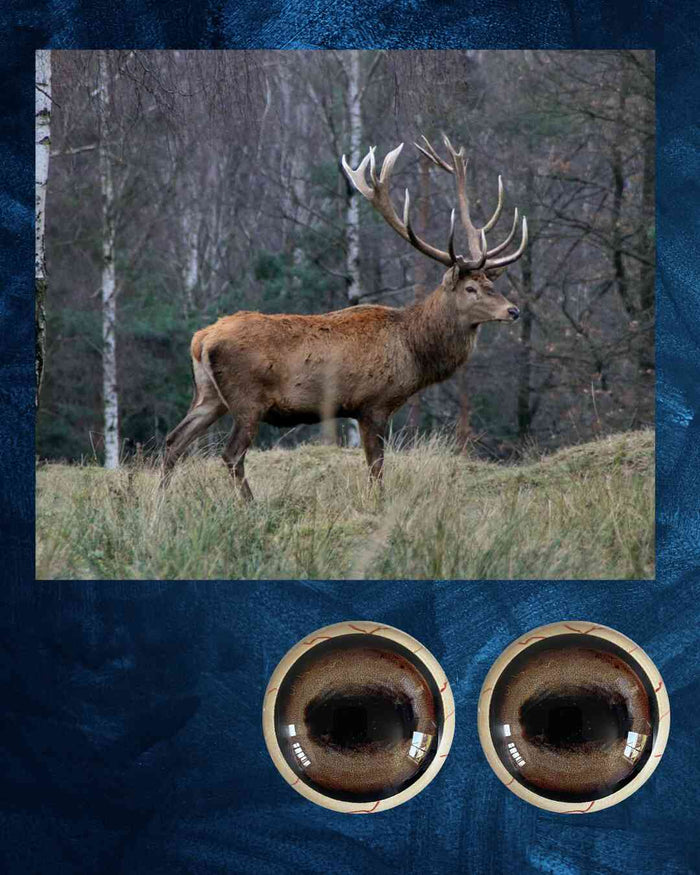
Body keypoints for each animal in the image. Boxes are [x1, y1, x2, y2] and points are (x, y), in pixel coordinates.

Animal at [161, 135, 528, 500]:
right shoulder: (374, 403)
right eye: (471, 288)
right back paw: (249, 505)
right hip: (248, 399)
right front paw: (376, 502)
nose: (513, 310)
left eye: (492, 284)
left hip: (209, 395)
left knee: (173, 441)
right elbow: (376, 468)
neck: (414, 350)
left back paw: (160, 501)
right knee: (231, 453)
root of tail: (201, 340)